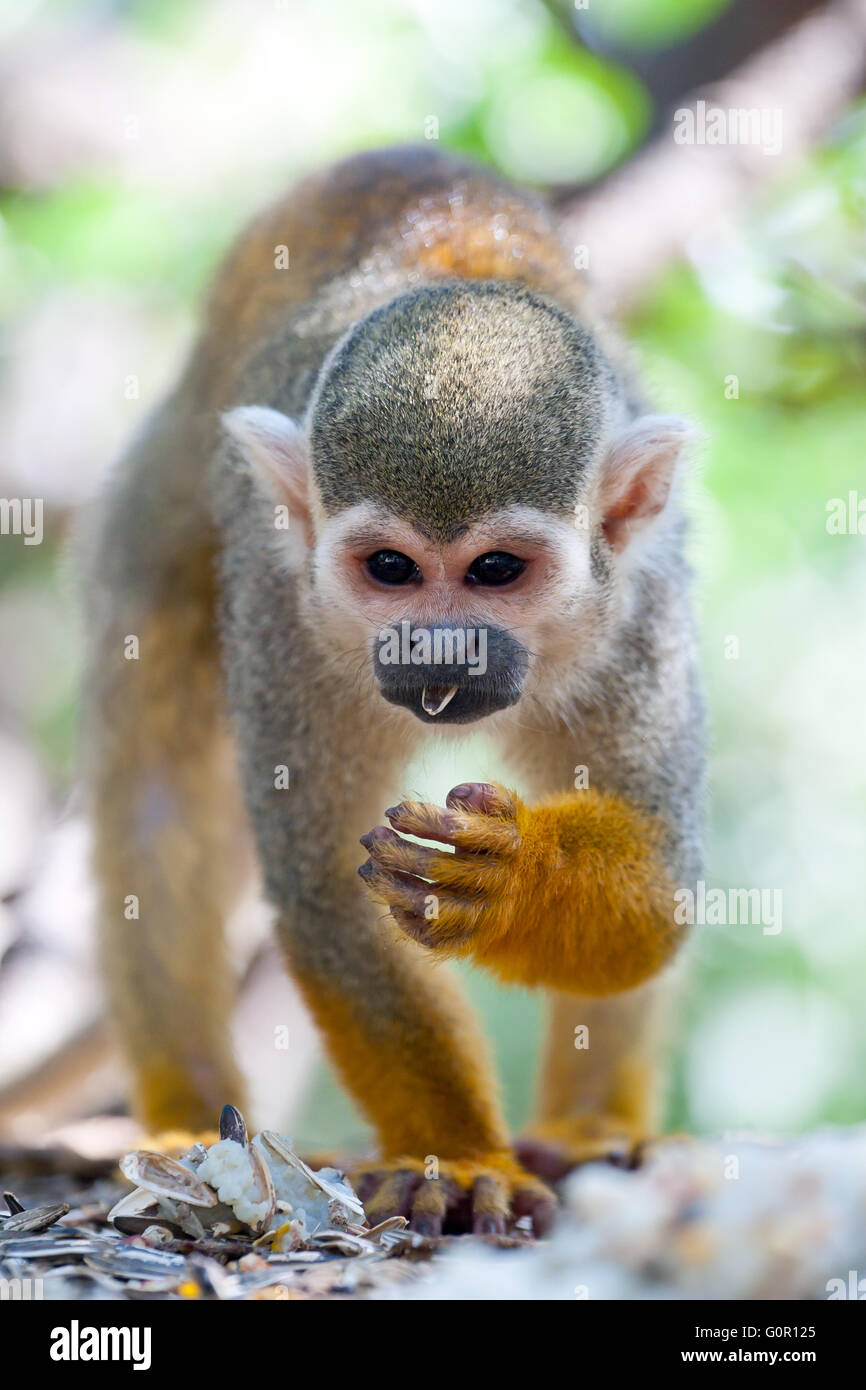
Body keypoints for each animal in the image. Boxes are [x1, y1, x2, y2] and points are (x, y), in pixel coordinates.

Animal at [81, 145, 704, 1237]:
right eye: (389, 569)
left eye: (496, 570)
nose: (437, 650)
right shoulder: (284, 605)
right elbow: (325, 886)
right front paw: (452, 1159)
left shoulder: (637, 604)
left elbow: (662, 874)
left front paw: (510, 881)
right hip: (165, 499)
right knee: (156, 784)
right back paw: (185, 1112)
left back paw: (592, 1126)